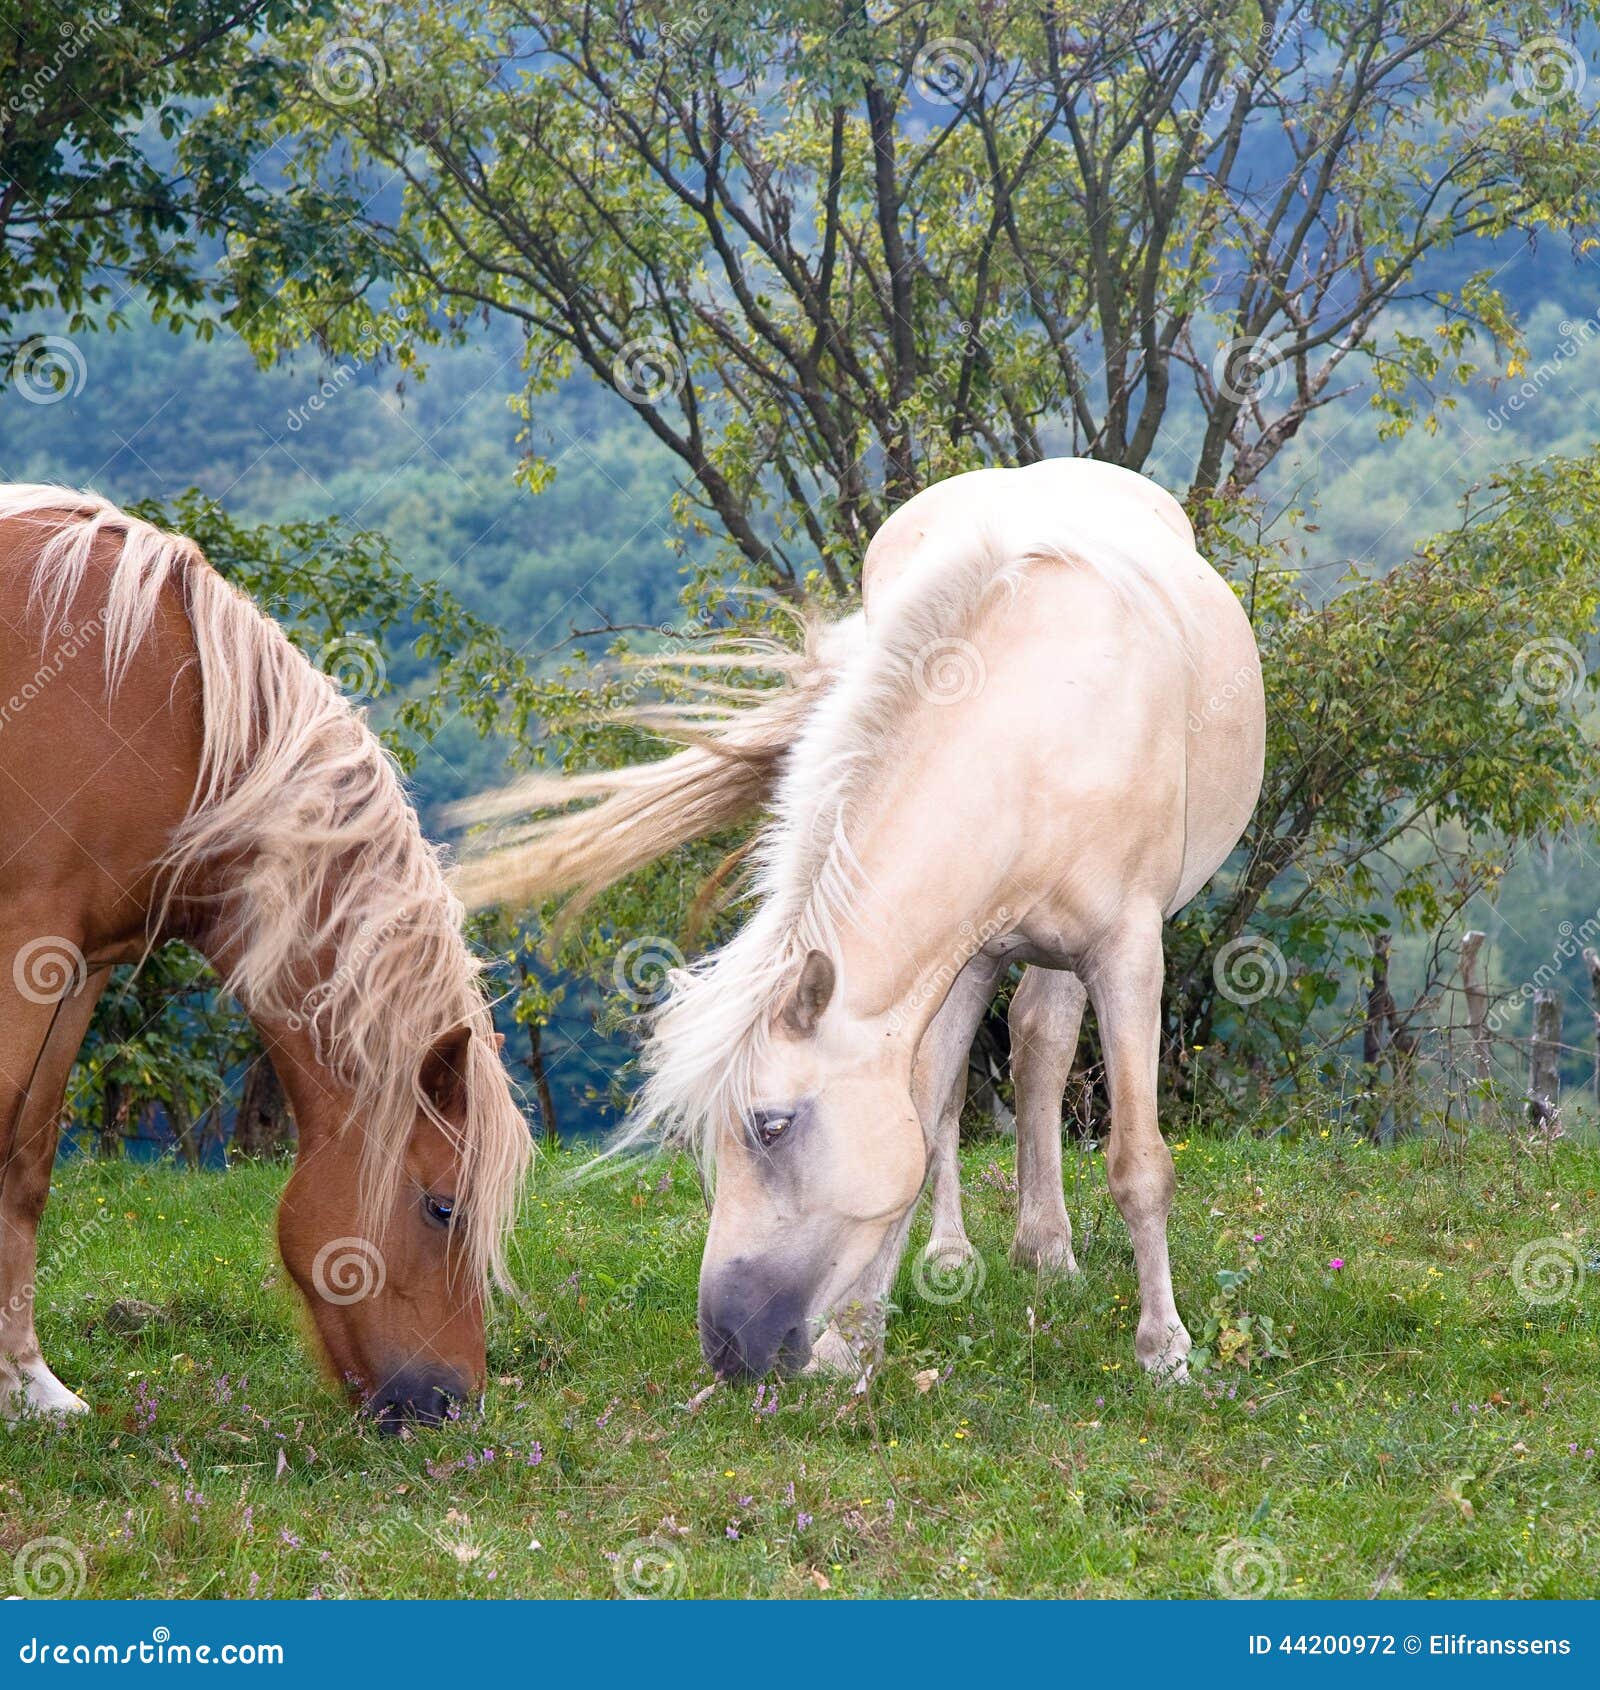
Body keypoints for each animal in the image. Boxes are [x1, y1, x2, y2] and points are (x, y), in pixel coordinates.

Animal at [0, 486, 531, 1428]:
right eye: (443, 1209)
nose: (454, 1404)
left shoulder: (77, 962)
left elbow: (27, 1161)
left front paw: (30, 1387)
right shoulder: (25, 935)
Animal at [456, 458, 1263, 1380]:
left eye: (771, 1127)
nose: (727, 1347)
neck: (1038, 731)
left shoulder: (1128, 954)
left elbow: (1138, 1163)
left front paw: (1164, 1347)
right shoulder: (961, 959)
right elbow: (924, 1121)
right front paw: (858, 1336)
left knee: (1041, 1043)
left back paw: (1048, 1251)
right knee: (1003, 1067)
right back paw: (983, 1250)